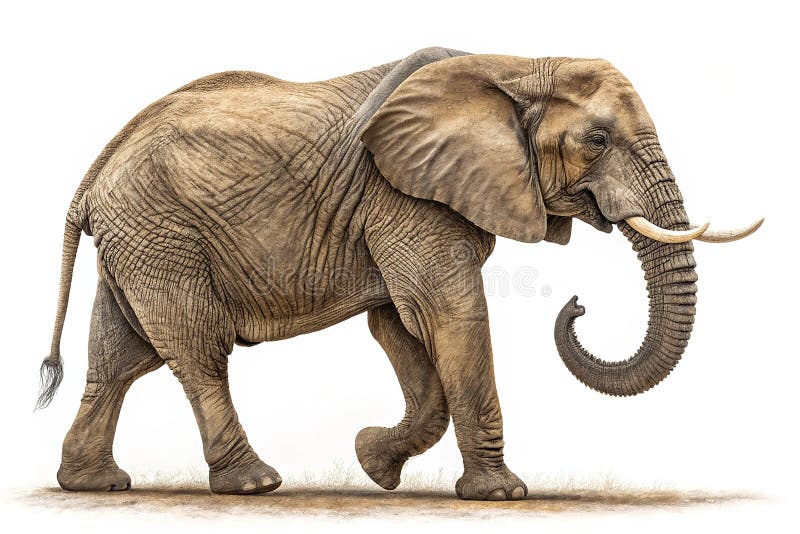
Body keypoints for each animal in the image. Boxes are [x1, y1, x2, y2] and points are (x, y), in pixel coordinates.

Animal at [37, 47, 762, 500]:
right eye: (599, 141)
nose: (578, 305)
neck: (514, 66)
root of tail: (93, 177)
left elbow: (400, 327)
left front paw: (373, 461)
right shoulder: (404, 198)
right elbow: (452, 315)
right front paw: (501, 495)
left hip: (140, 240)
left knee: (121, 357)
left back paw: (94, 484)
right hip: (162, 233)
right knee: (196, 349)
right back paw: (255, 483)